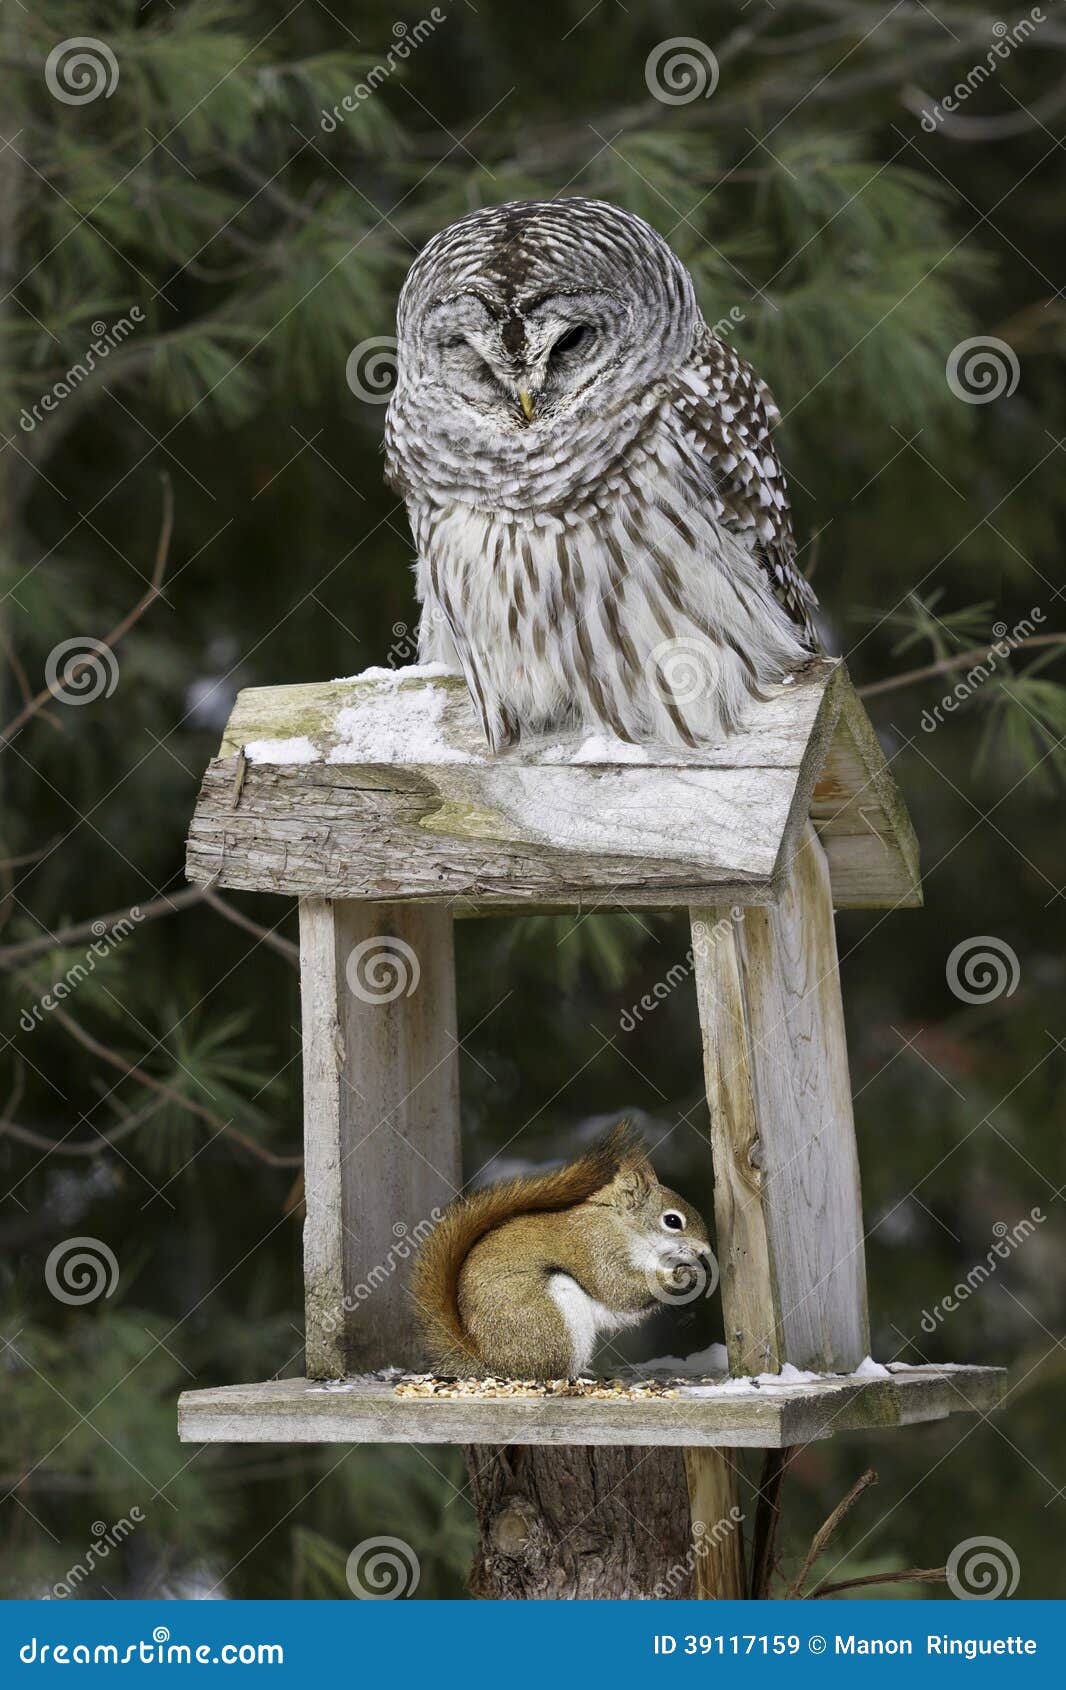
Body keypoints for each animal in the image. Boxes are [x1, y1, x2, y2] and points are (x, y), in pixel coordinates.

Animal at [410, 1123, 711, 1379]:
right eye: (672, 1221)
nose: (705, 1249)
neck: (625, 1228)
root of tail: (490, 1363)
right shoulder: (596, 1246)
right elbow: (619, 1288)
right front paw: (682, 1275)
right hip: (551, 1319)